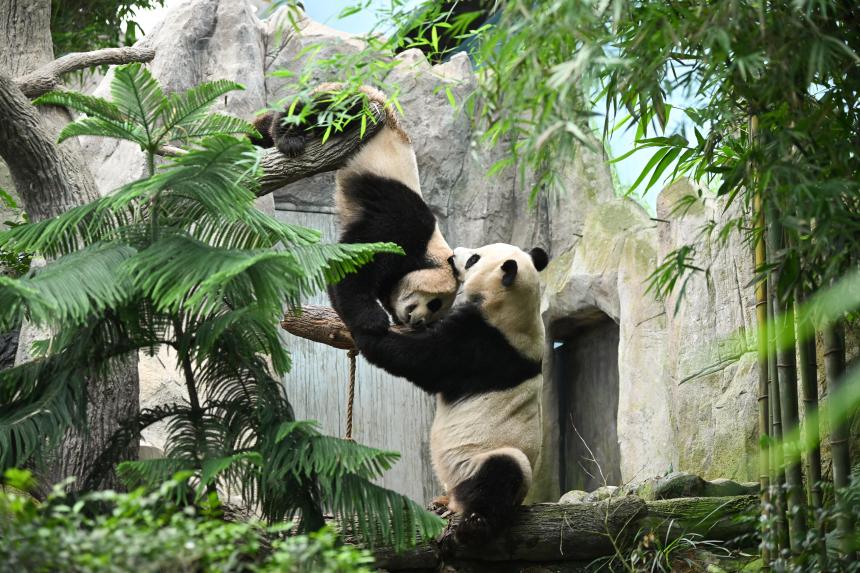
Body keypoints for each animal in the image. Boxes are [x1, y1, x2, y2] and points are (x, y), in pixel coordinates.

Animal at [251, 84, 458, 333]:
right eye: (434, 303)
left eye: (435, 312)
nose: (418, 322)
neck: (429, 247)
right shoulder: (402, 224)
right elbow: (355, 260)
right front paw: (372, 319)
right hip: (359, 108)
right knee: (321, 107)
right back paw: (288, 138)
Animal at [353, 243, 549, 545]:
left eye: (474, 259)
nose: (453, 253)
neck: (516, 308)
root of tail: (458, 497)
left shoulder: (484, 345)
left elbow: (420, 359)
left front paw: (363, 327)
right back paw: (441, 504)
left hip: (481, 460)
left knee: (502, 473)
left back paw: (474, 525)